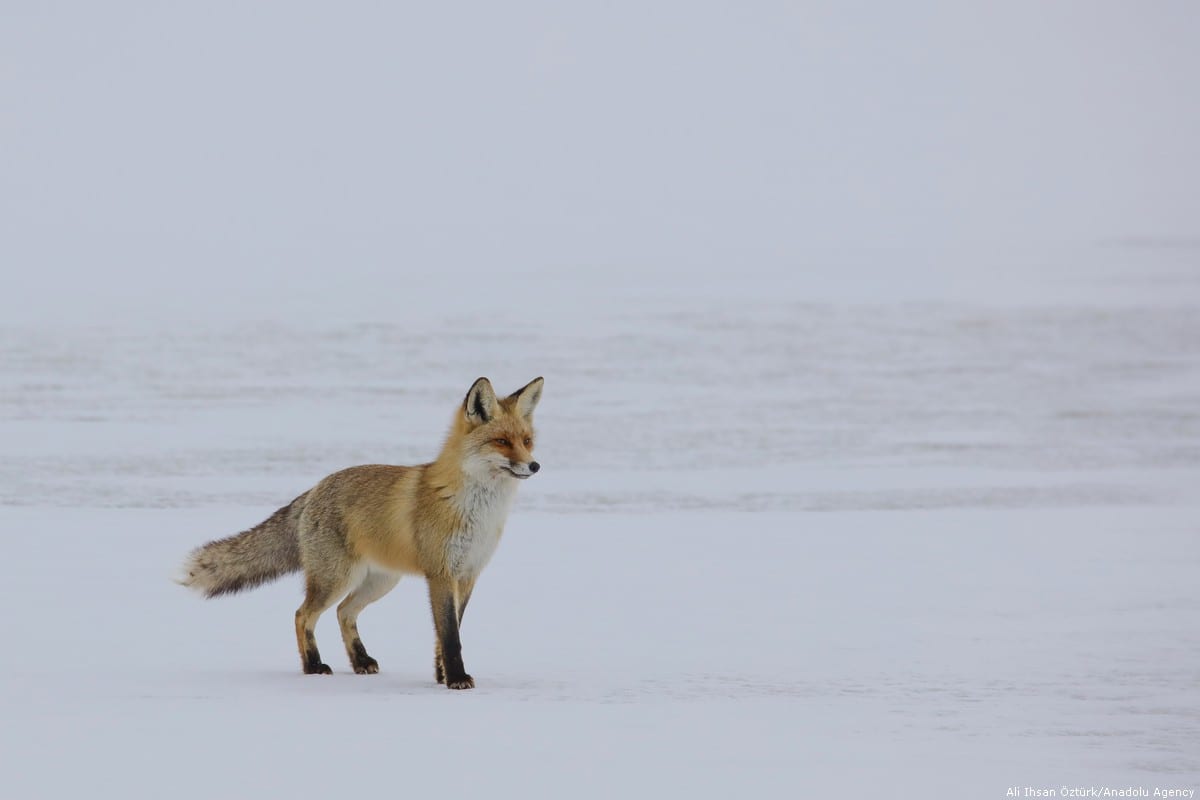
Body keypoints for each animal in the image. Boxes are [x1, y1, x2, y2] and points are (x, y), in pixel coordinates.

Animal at [178, 376, 543, 689]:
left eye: (526, 441)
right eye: (501, 442)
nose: (534, 465)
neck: (475, 510)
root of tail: (314, 488)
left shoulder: (467, 575)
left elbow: (448, 634)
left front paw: (441, 676)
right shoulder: (441, 574)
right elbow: (451, 635)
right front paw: (455, 679)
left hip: (379, 581)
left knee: (343, 612)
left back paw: (360, 661)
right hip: (336, 578)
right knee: (303, 615)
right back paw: (313, 666)